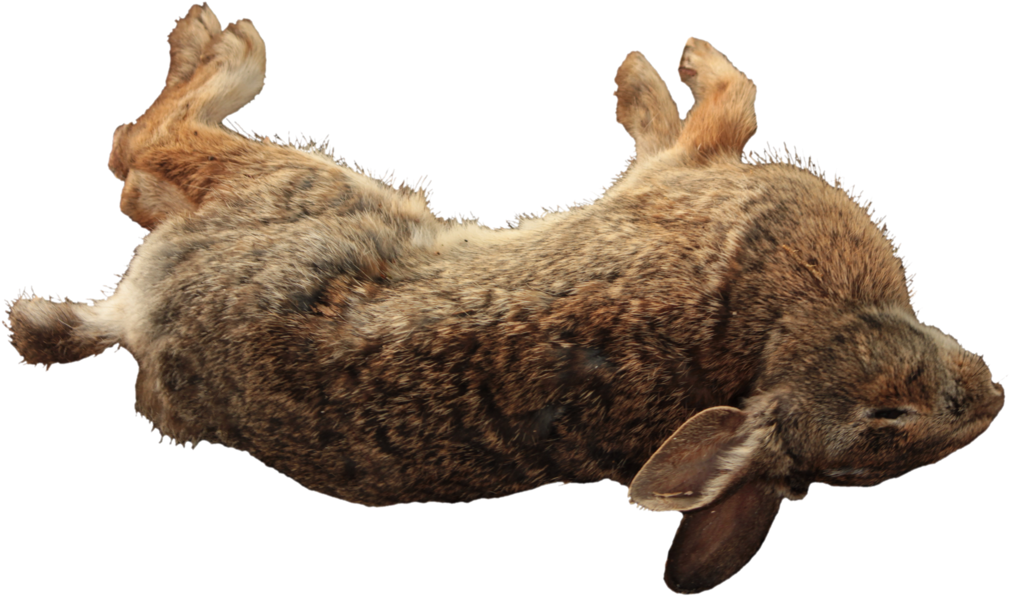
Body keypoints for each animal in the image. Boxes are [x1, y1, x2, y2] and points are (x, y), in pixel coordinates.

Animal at [4, 3, 1002, 593]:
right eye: (887, 416)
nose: (991, 396)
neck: (785, 341)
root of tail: (138, 321)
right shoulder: (688, 180)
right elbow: (713, 111)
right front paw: (654, 73)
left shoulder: (689, 182)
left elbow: (720, 112)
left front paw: (661, 70)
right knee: (136, 153)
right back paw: (221, 39)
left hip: (302, 190)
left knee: (138, 153)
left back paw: (221, 40)